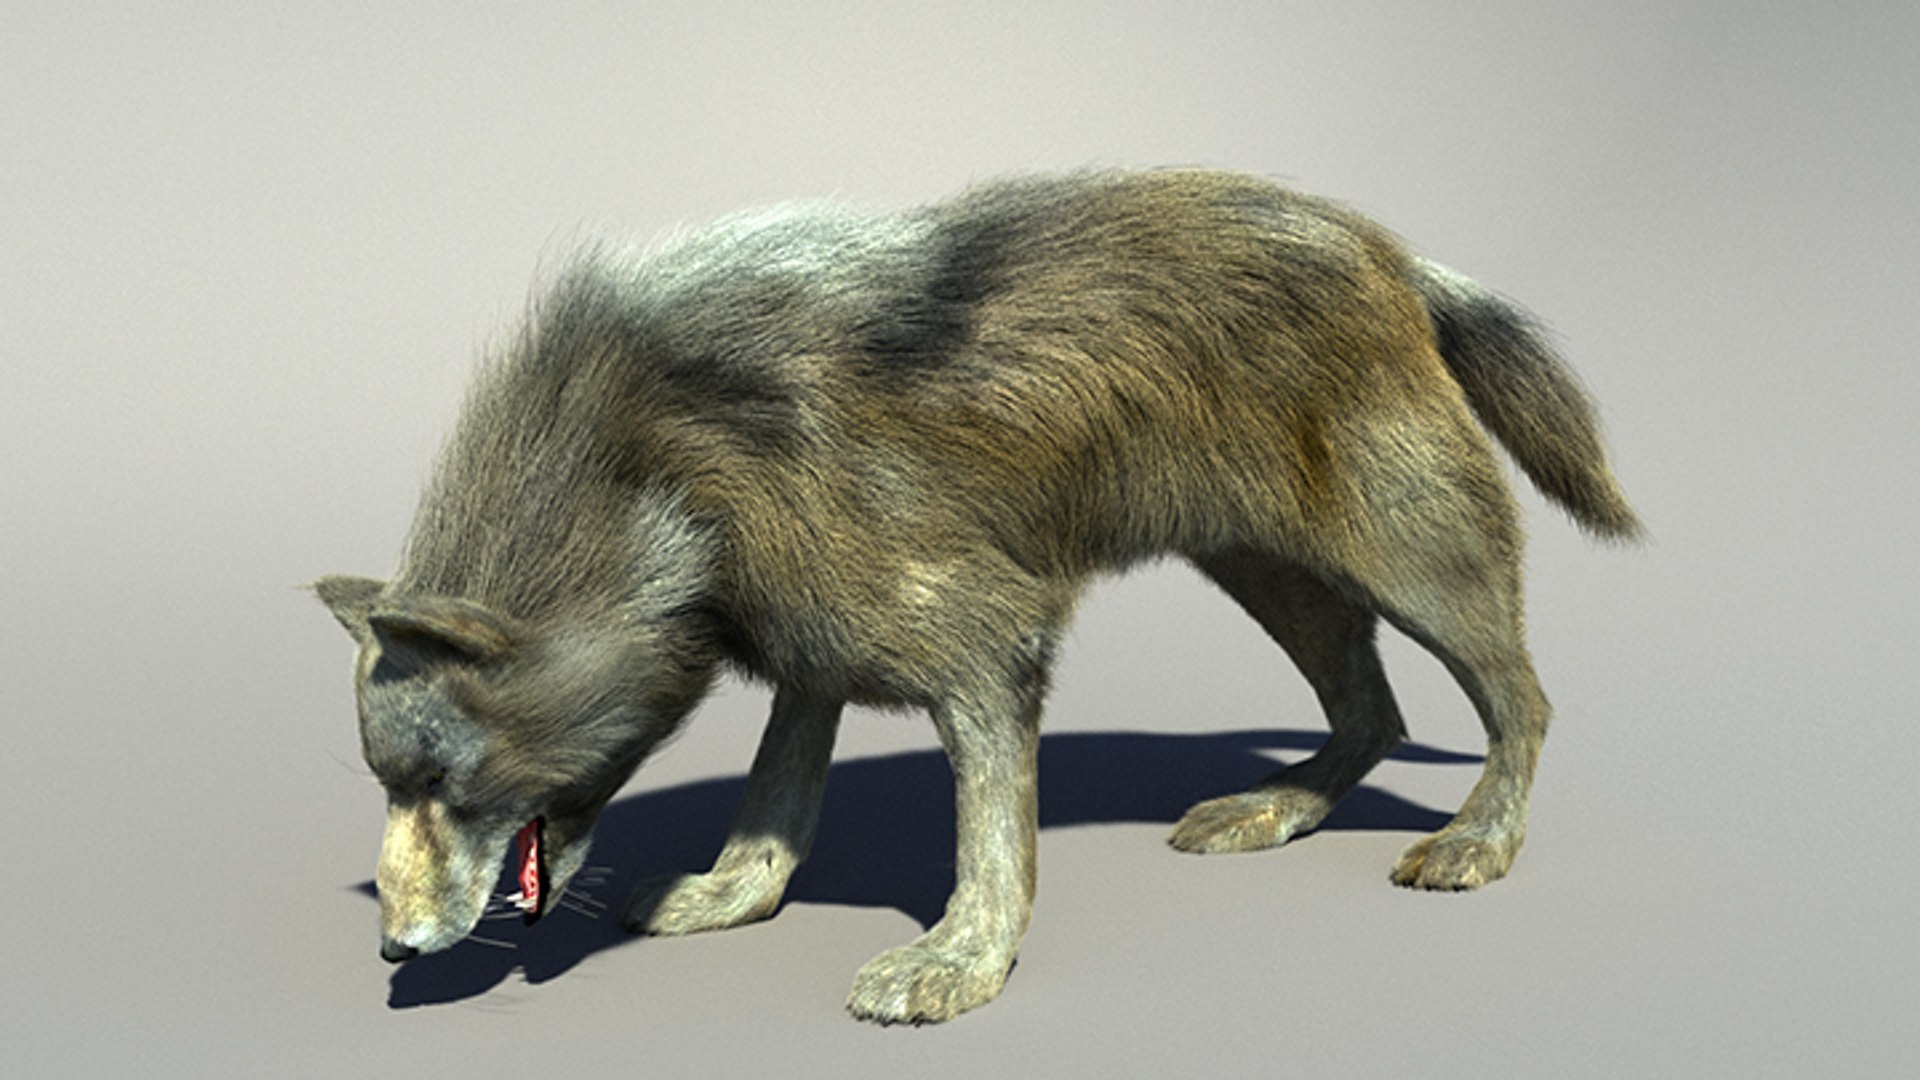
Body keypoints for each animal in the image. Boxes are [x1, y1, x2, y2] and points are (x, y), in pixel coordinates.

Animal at [315, 168, 1639, 1024]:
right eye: (391, 786)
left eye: (445, 783)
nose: (390, 946)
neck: (664, 472)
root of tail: (1389, 250)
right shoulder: (814, 651)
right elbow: (771, 806)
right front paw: (728, 897)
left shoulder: (986, 652)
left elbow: (990, 840)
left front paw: (956, 965)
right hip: (1271, 568)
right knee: (1374, 710)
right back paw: (1278, 808)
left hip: (1410, 559)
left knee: (1521, 701)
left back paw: (1474, 841)